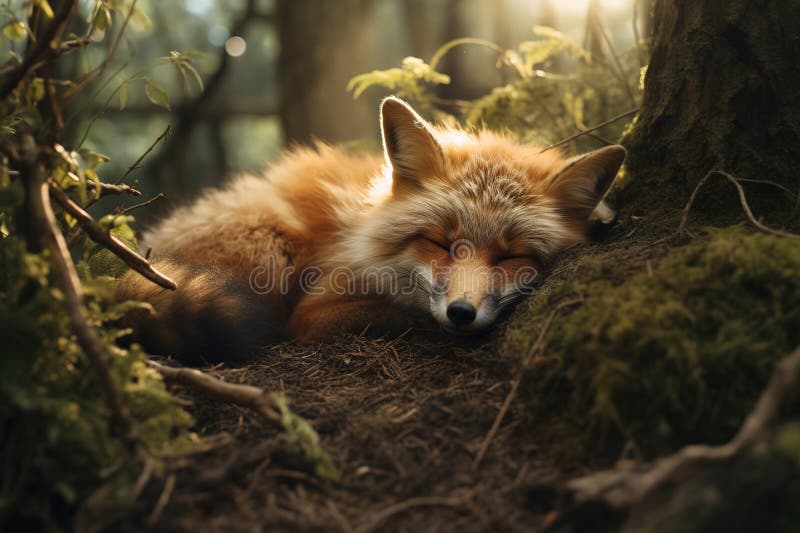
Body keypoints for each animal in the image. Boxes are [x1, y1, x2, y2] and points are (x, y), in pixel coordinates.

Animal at [117, 97, 625, 364]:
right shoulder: (315, 310)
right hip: (269, 250)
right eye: (440, 243)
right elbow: (397, 312)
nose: (461, 312)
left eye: (511, 256)